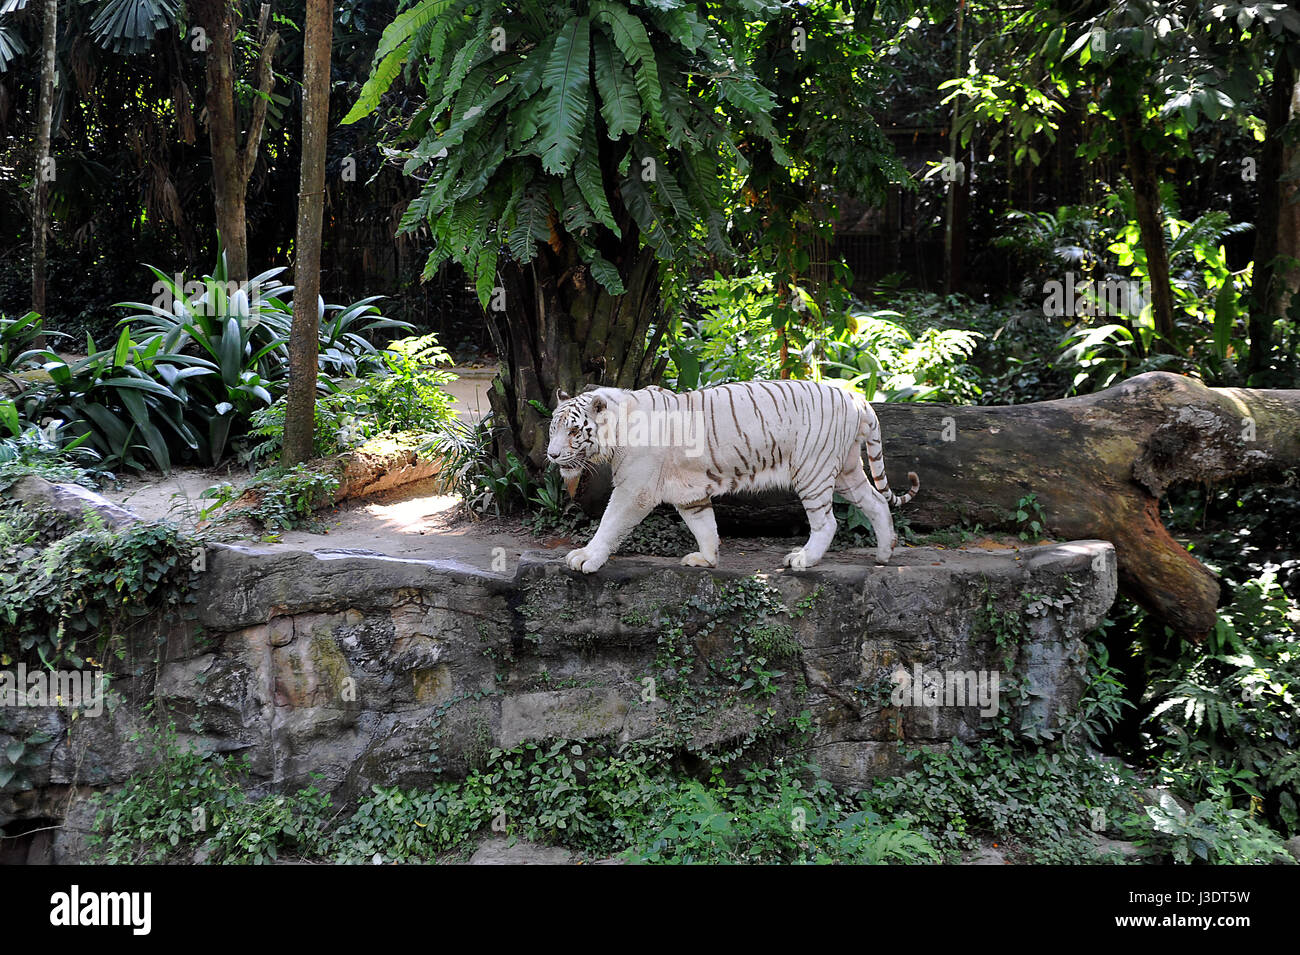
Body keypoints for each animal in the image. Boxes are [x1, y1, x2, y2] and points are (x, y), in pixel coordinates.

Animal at [546, 379, 919, 574]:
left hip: (813, 471)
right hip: (846, 470)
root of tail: (858, 399)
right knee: (876, 503)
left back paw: (803, 559)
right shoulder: (691, 495)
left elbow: (609, 523)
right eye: (553, 429)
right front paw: (707, 559)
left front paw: (586, 557)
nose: (551, 455)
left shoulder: (634, 490)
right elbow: (705, 527)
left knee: (828, 522)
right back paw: (885, 553)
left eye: (574, 431)